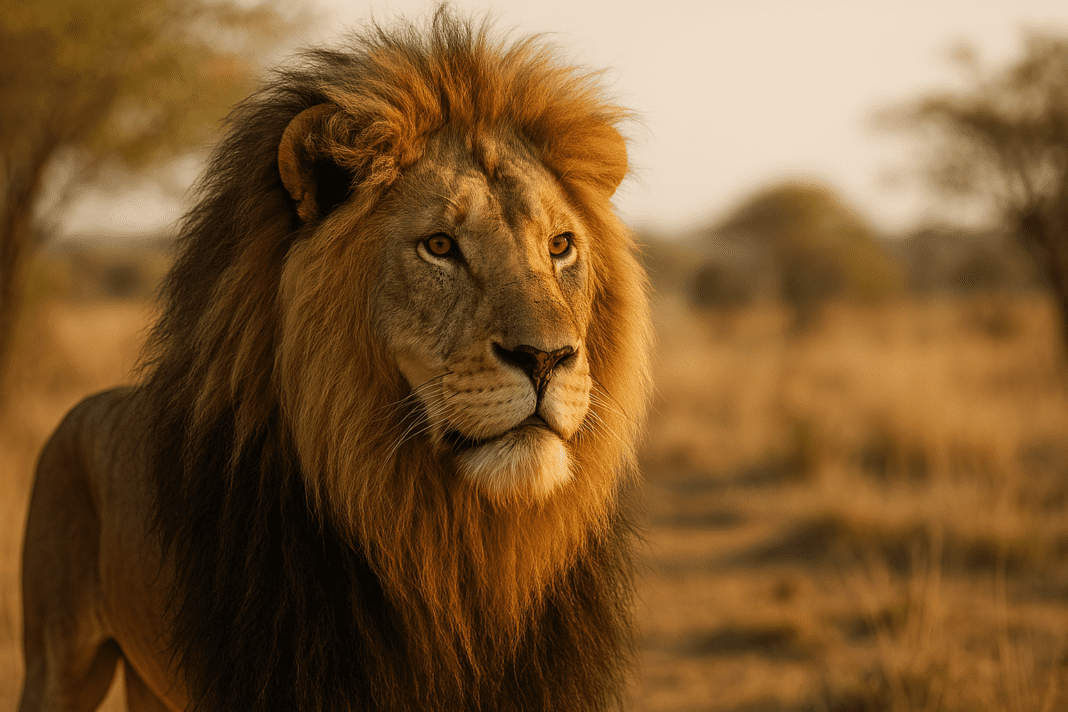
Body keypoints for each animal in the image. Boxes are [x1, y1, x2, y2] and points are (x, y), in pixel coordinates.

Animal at [19, 9, 651, 712]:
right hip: (56, 661)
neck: (454, 553)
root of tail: (81, 409)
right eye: (439, 246)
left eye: (561, 245)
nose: (546, 358)